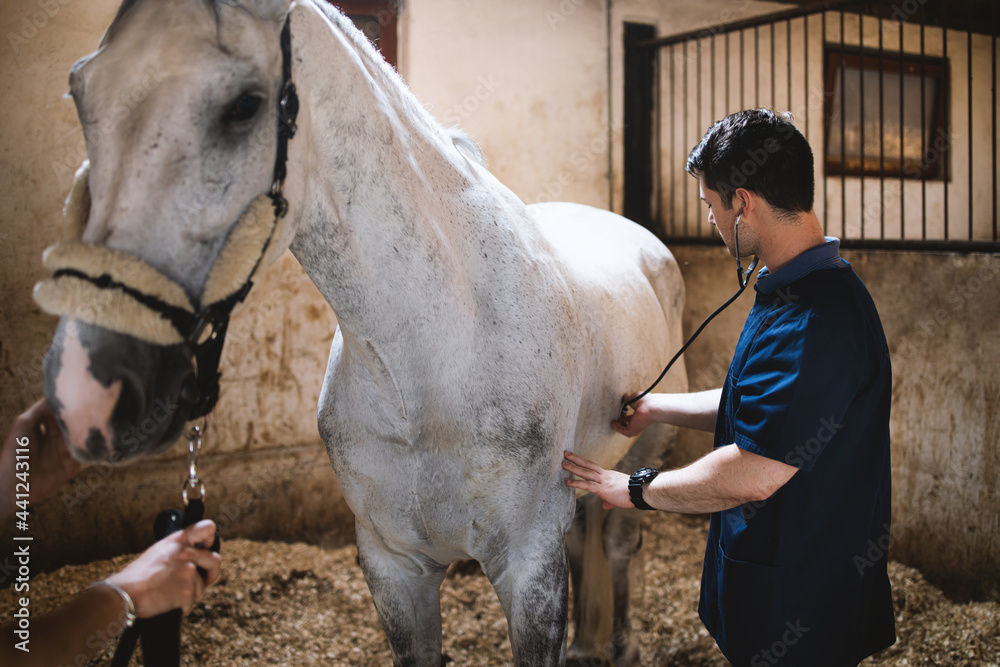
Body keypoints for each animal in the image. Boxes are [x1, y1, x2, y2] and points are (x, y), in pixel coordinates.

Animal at [34, 1, 687, 664]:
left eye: (244, 104)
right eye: (80, 90)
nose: (86, 392)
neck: (428, 360)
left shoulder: (529, 565)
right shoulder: (393, 566)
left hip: (642, 451)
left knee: (617, 542)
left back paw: (622, 644)